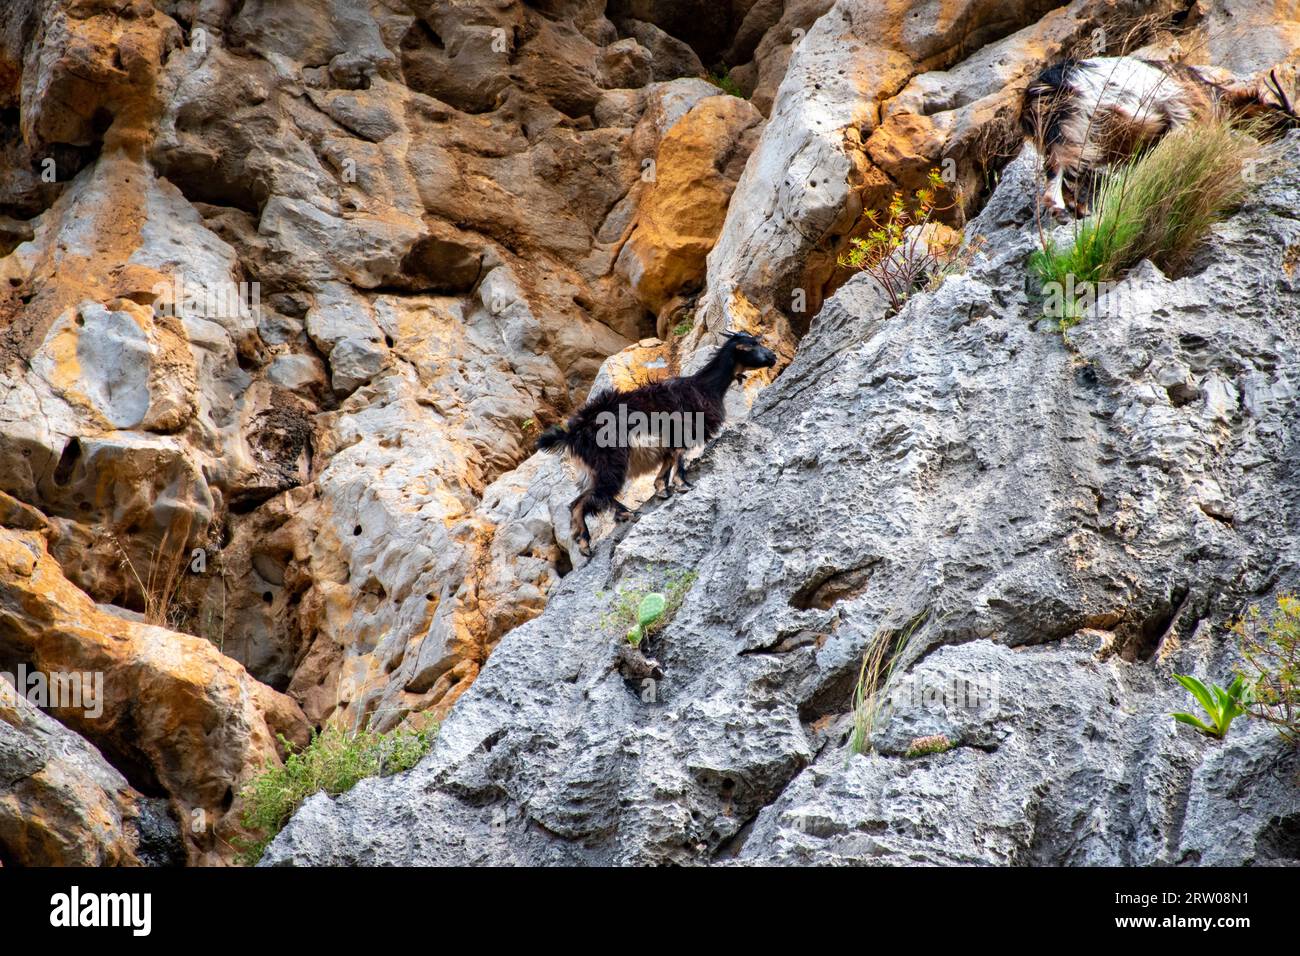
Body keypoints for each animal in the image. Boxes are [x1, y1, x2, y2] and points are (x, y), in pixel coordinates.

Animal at [537, 330, 777, 556]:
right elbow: (679, 456)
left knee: (592, 497)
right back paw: (588, 542)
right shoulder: (684, 429)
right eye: (752, 345)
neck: (704, 386)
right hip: (609, 460)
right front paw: (683, 485)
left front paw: (662, 488)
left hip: (593, 469)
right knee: (585, 500)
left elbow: (669, 459)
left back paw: (625, 514)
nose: (773, 357)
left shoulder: (669, 439)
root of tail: (572, 434)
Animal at [1021, 56, 1298, 217]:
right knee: (1058, 167)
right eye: (1277, 115)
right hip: (1079, 124)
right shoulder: (1185, 119)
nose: (1294, 126)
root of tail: (1042, 87)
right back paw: (1062, 208)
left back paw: (1078, 207)